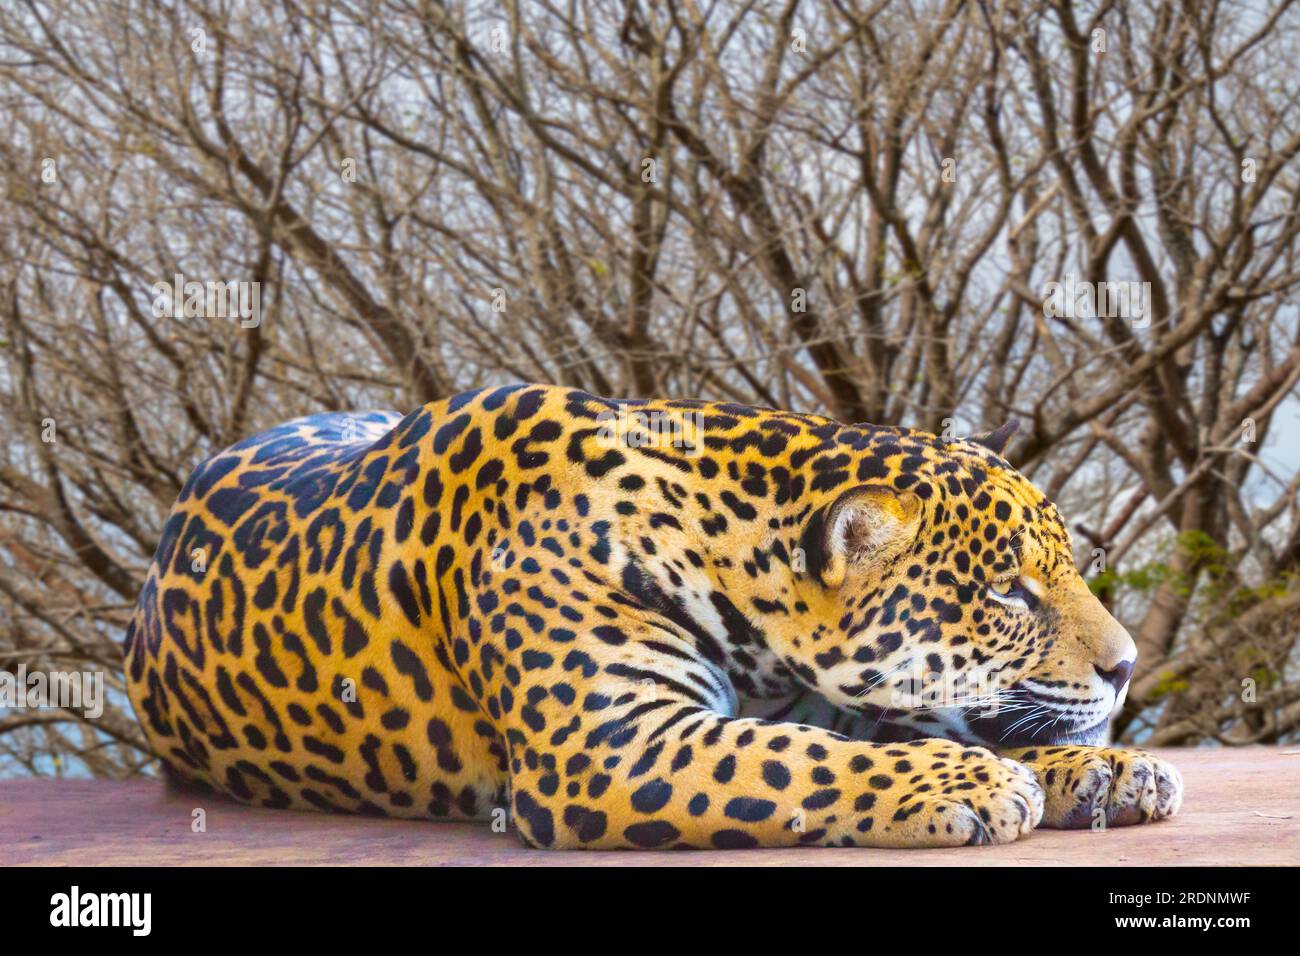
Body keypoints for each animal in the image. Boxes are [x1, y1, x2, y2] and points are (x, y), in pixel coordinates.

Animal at [124, 384, 1182, 849]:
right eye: (1007, 590)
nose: (1128, 666)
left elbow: (892, 729)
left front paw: (1102, 769)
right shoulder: (610, 745)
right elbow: (808, 761)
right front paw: (975, 783)